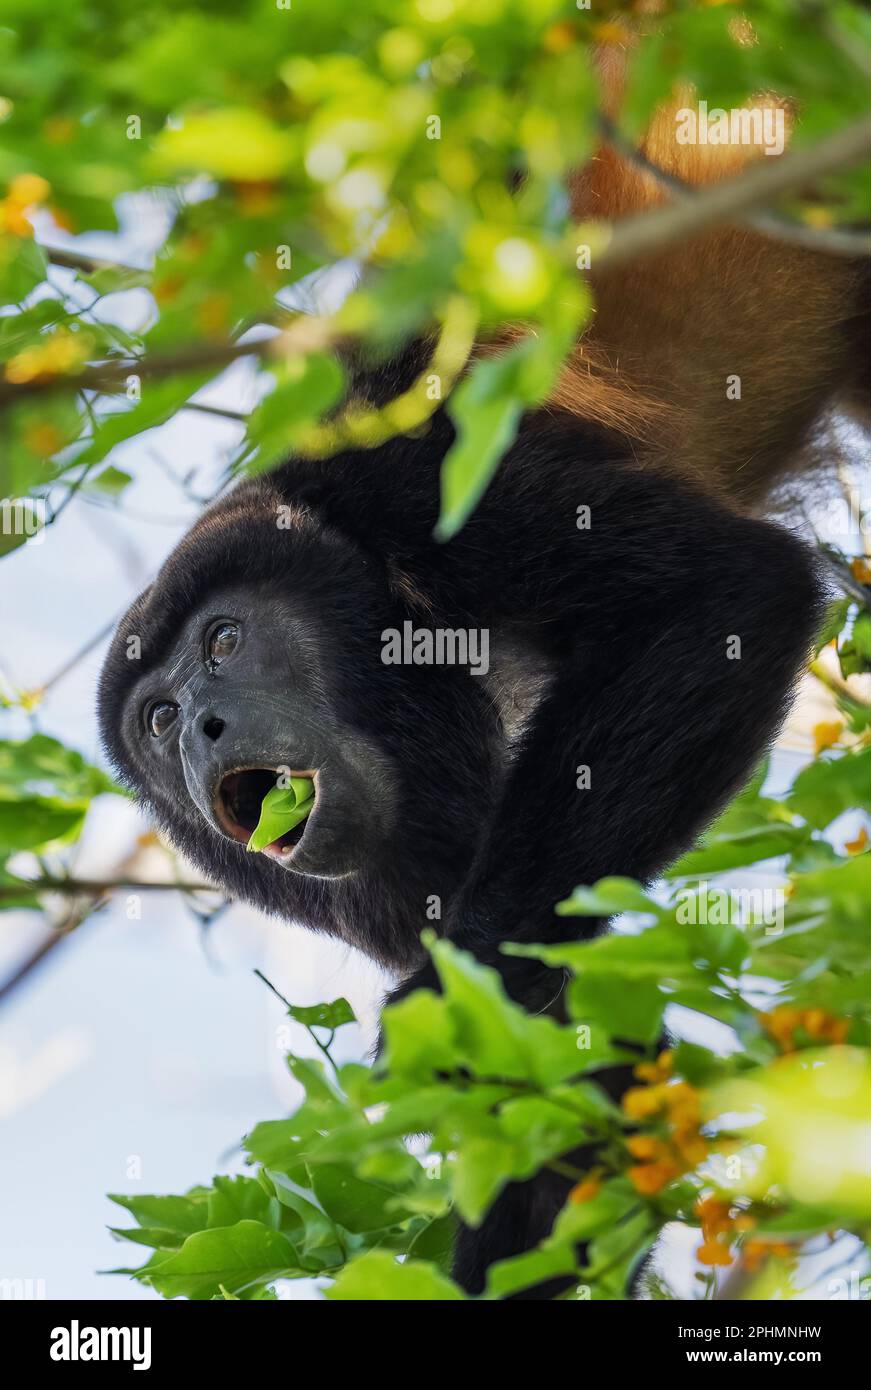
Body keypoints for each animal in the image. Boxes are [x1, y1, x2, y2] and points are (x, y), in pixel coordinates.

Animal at [97, 73, 870, 1295]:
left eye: (222, 643)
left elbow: (725, 595)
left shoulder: (420, 476)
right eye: (159, 717)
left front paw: (468, 983)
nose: (205, 730)